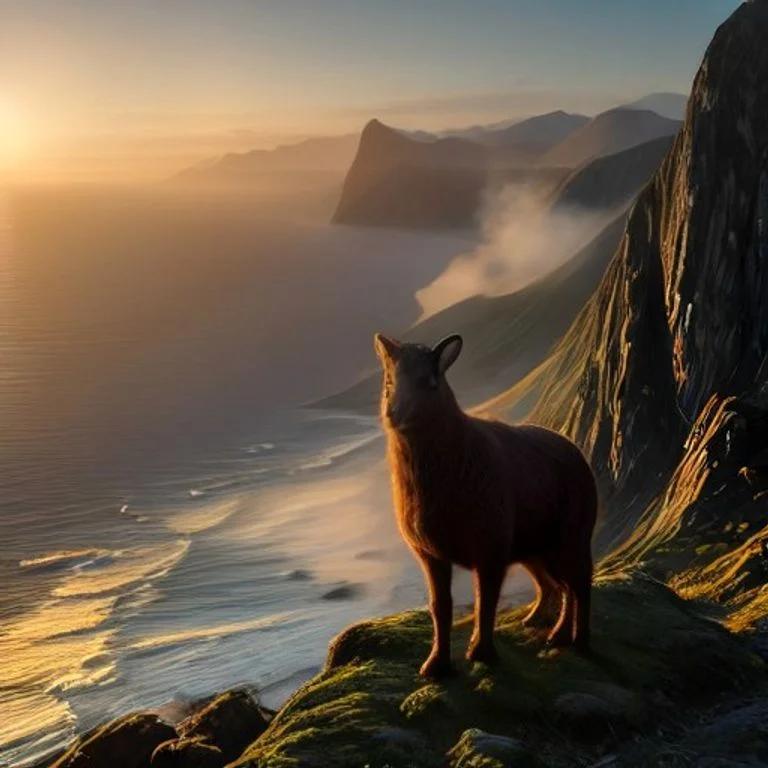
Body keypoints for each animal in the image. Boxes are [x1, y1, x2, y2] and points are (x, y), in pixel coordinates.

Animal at [374, 331, 598, 679]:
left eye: (428, 381)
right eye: (389, 380)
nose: (393, 413)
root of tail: (577, 451)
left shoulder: (490, 549)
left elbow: (486, 601)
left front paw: (481, 653)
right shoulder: (431, 554)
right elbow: (440, 607)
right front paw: (435, 665)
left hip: (571, 538)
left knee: (581, 584)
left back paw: (579, 640)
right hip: (536, 550)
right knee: (559, 586)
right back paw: (553, 632)